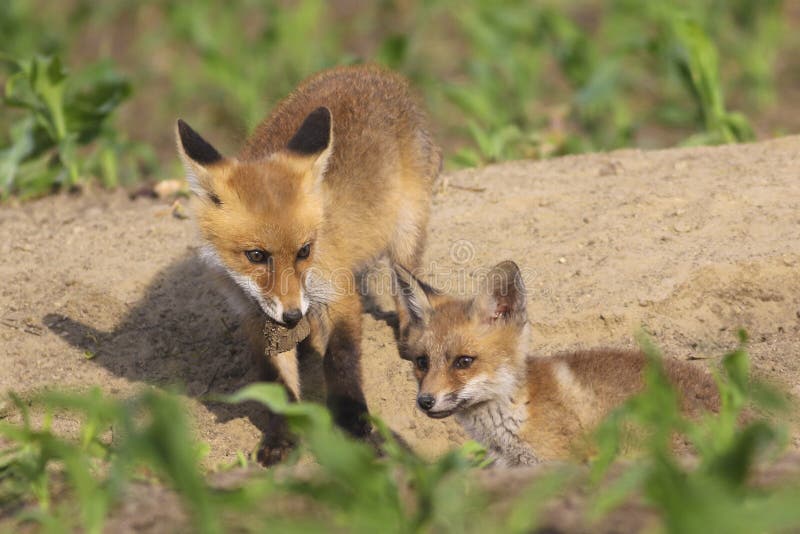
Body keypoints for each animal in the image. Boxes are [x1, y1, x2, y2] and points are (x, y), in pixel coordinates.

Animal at [175, 65, 441, 464]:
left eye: (304, 251)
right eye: (256, 256)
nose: (291, 316)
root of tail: (370, 70)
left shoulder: (337, 293)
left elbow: (340, 359)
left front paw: (352, 422)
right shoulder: (254, 314)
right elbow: (277, 384)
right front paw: (282, 437)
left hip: (405, 234)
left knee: (404, 288)